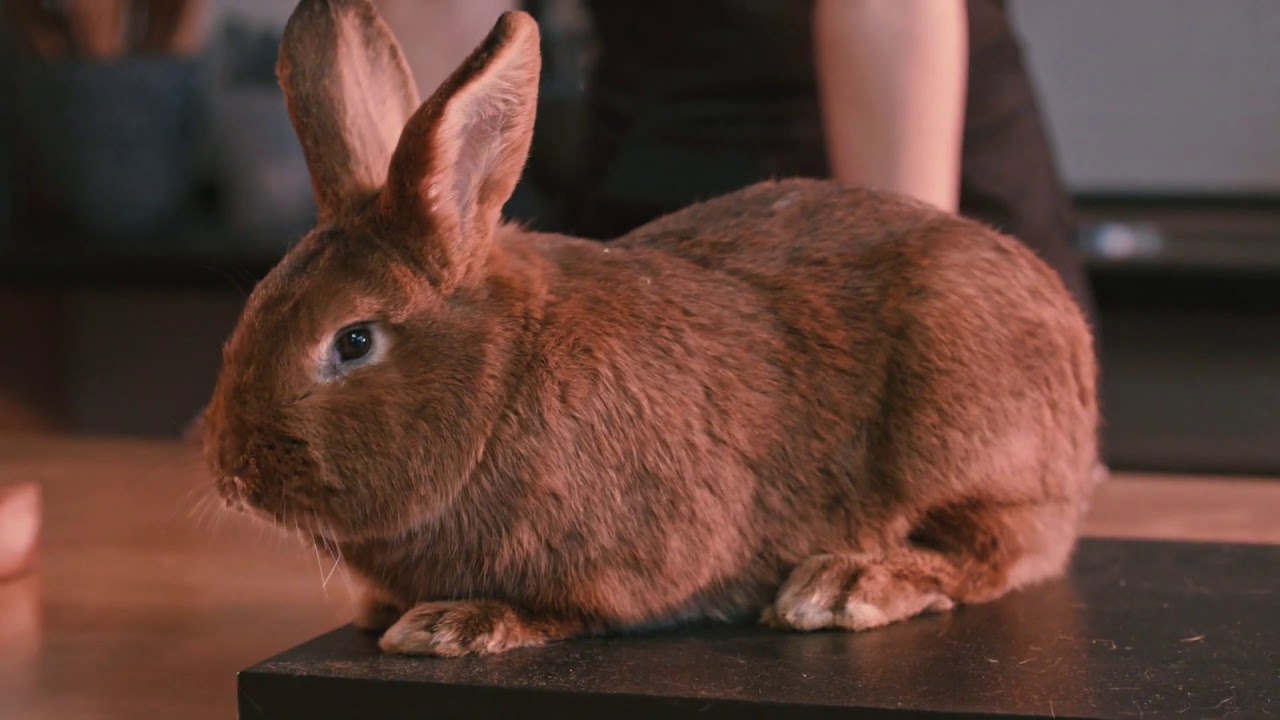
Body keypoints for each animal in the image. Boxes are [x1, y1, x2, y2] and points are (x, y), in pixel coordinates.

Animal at [203, 0, 1100, 658]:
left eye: (353, 341)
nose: (233, 474)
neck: (501, 378)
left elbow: (571, 607)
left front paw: (452, 624)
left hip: (967, 435)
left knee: (998, 552)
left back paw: (846, 585)